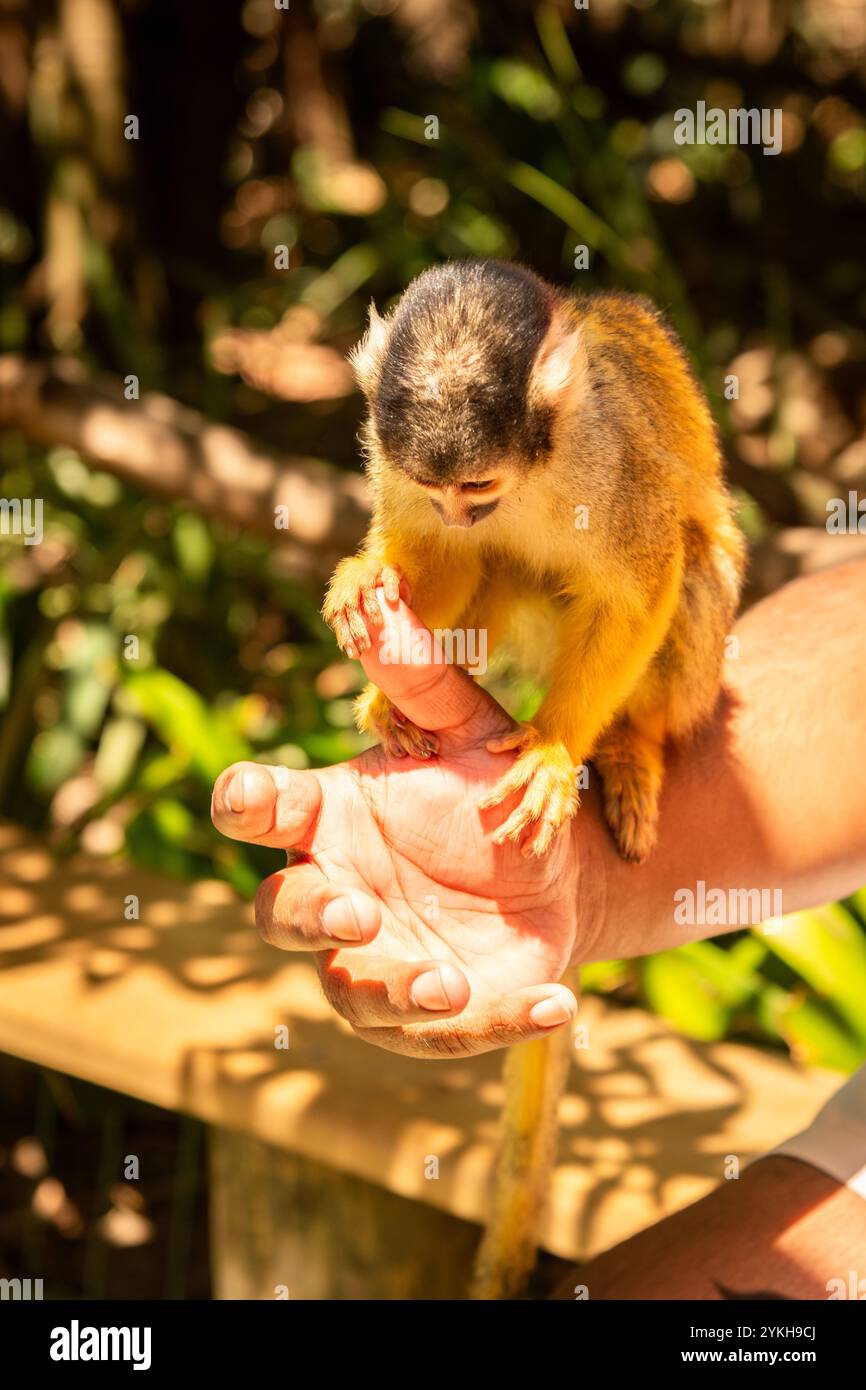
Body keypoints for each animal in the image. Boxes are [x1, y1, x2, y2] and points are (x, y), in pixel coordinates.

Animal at [324, 258, 745, 865]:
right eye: (430, 484)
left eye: (478, 484)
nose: (457, 517)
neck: (531, 470)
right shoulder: (393, 460)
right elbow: (445, 557)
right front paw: (368, 577)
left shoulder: (608, 454)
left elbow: (639, 590)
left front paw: (553, 745)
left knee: (691, 572)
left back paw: (635, 741)